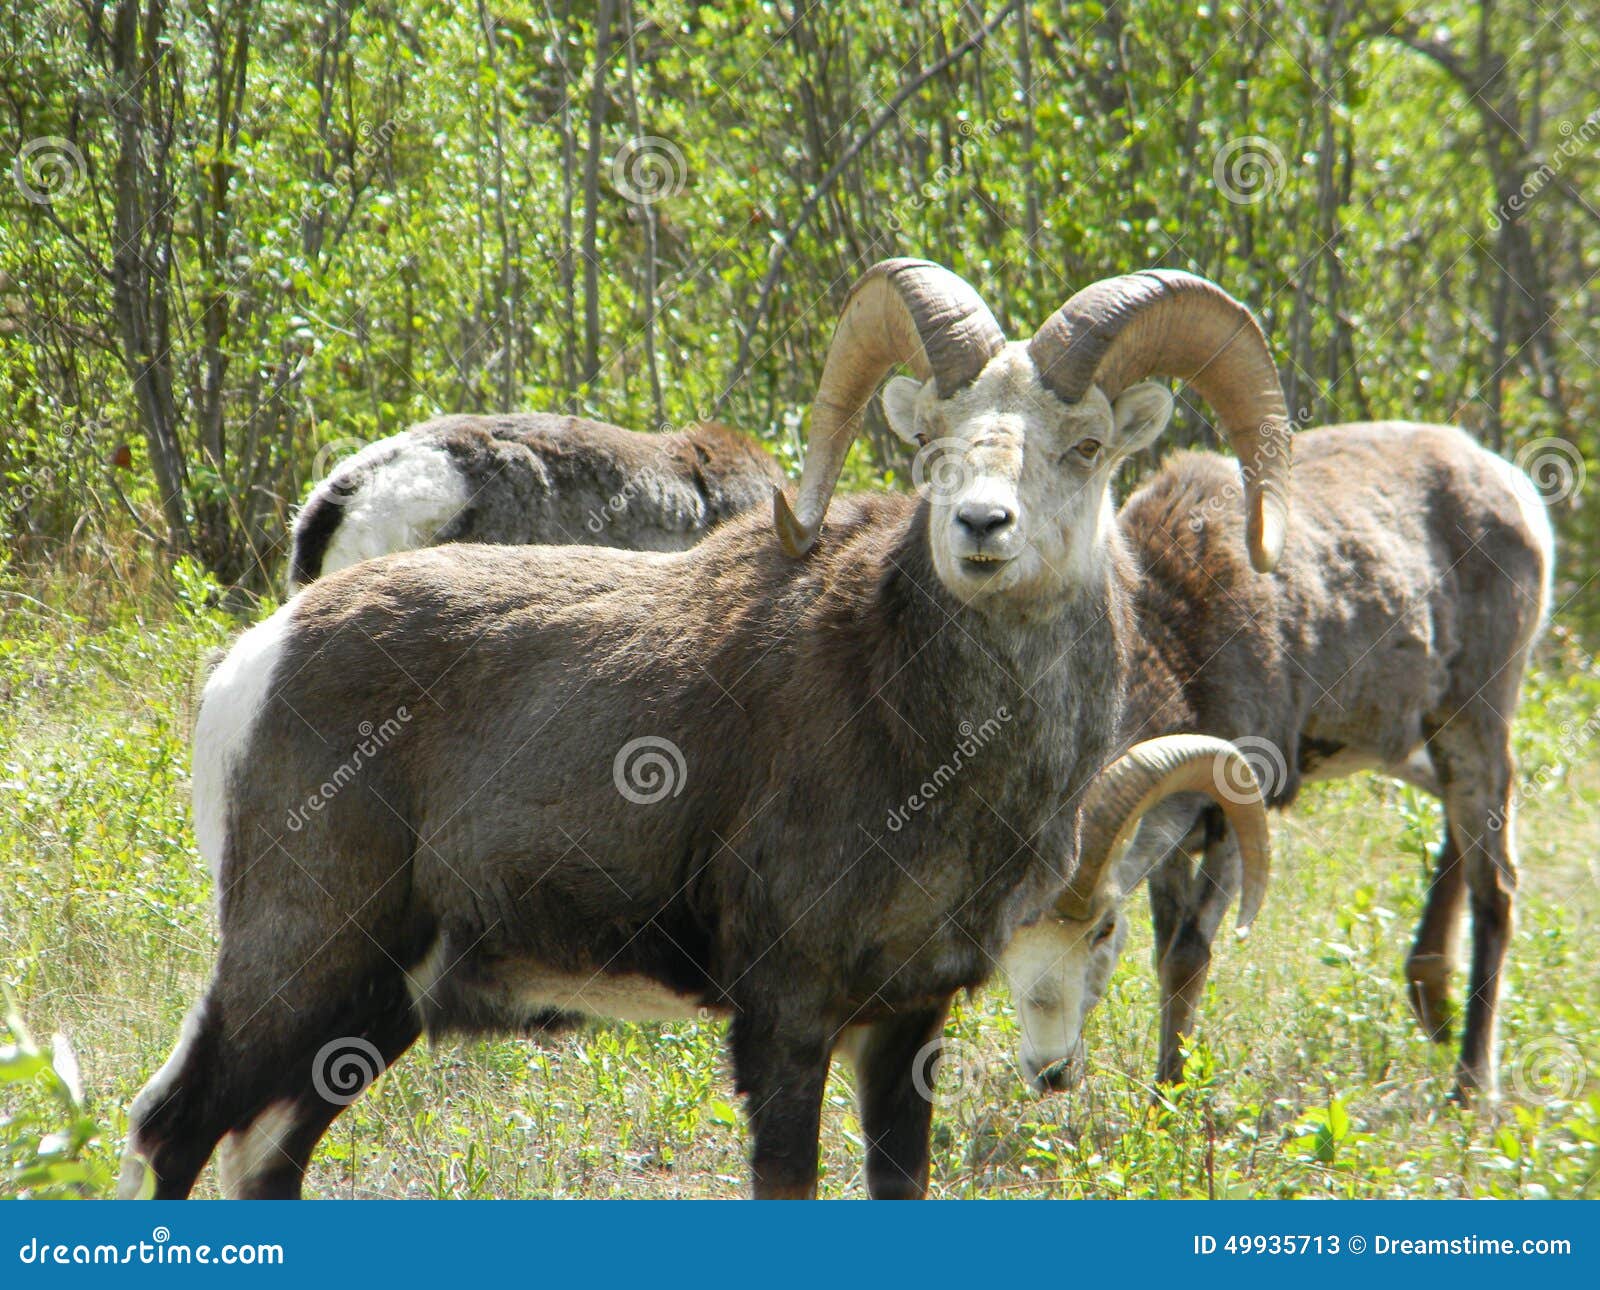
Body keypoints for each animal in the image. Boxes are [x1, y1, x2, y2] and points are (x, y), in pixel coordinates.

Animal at [1003, 421, 1554, 1101]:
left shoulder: (1238, 812)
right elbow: (1164, 950)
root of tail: (1509, 481)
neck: (1186, 635)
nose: (1050, 1071)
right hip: (1413, 746)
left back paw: (1471, 1089)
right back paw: (1433, 1003)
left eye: (1102, 928)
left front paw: (1170, 1099)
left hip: (1474, 721)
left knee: (1495, 887)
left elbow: (1186, 958)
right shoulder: (1170, 844)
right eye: (1006, 941)